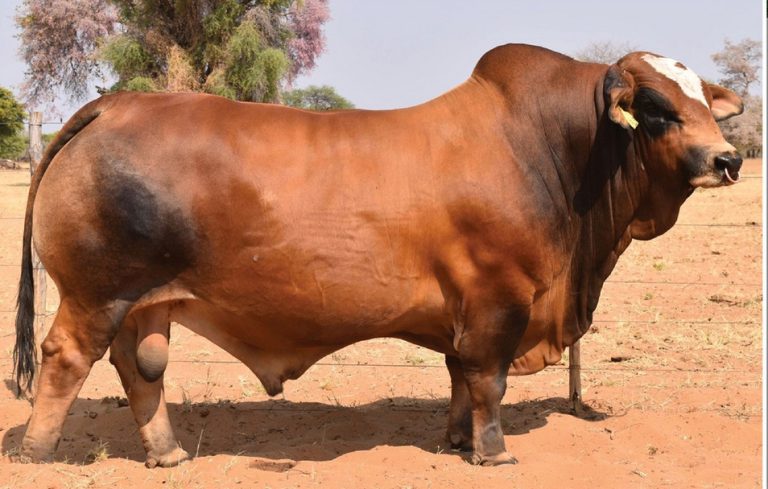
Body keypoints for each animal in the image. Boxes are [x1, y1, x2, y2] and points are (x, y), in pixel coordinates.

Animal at [14, 44, 743, 468]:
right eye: (656, 108)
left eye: (707, 104)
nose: (728, 159)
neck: (552, 152)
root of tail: (114, 105)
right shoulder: (498, 299)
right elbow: (488, 380)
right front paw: (493, 453)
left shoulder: (463, 310)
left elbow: (458, 378)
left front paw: (456, 440)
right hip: (95, 295)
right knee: (65, 360)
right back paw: (37, 454)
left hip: (145, 301)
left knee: (142, 370)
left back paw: (167, 456)